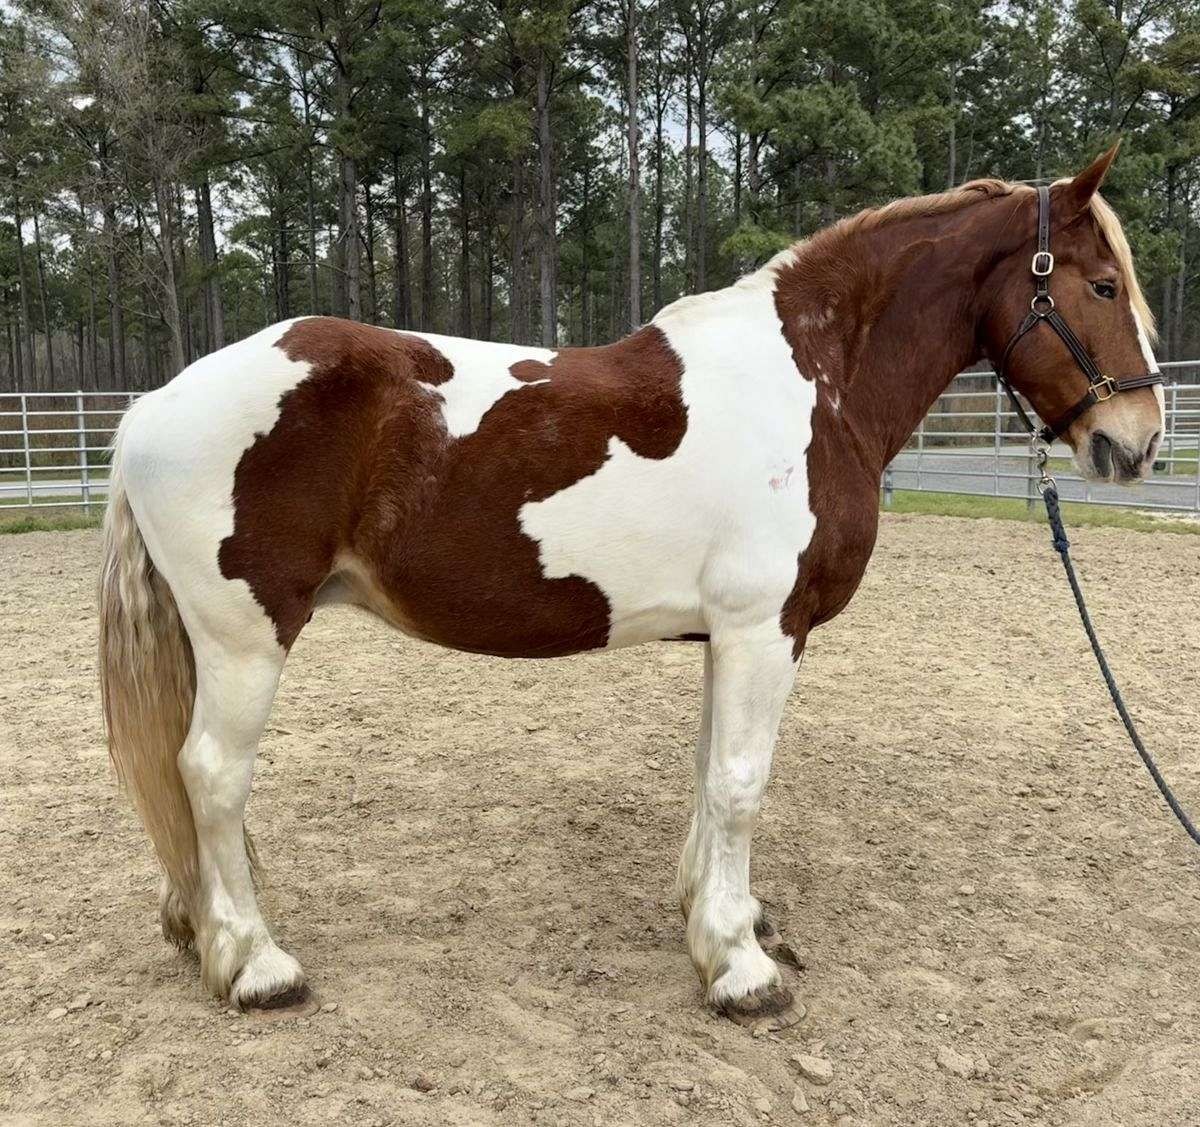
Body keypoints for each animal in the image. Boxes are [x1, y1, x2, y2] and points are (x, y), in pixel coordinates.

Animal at [99, 144, 1163, 1020]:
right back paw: (257, 965)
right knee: (211, 774)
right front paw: (739, 969)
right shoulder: (765, 629)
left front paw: (723, 916)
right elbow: (741, 781)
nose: (1141, 443)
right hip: (246, 637)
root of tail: (152, 404)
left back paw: (204, 931)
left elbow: (708, 773)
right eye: (1102, 283)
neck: (810, 383)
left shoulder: (734, 635)